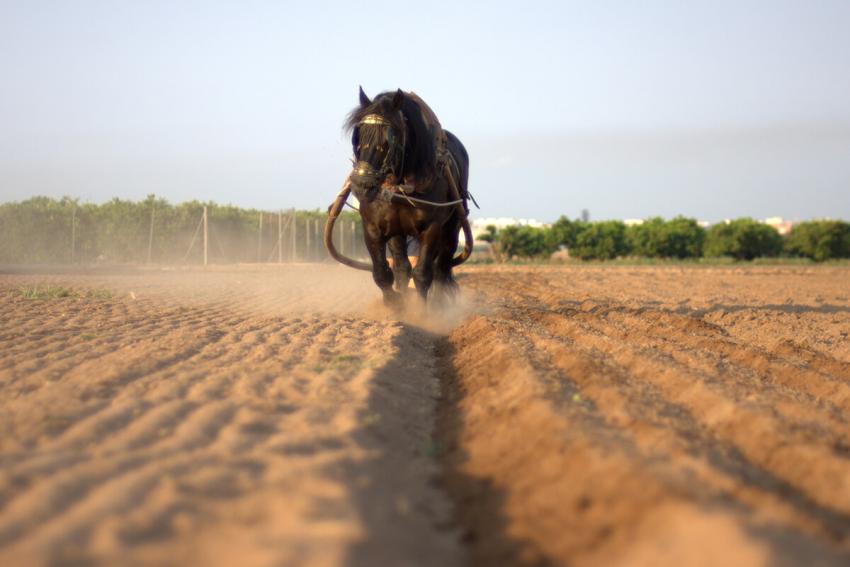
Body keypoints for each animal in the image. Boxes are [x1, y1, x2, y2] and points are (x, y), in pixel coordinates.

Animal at [324, 87, 473, 308]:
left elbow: (422, 274)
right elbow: (384, 272)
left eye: (389, 138)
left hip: (452, 227)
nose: (361, 184)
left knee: (441, 268)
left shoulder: (432, 228)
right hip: (398, 231)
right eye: (358, 136)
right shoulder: (374, 226)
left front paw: (421, 311)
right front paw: (395, 305)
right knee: (403, 267)